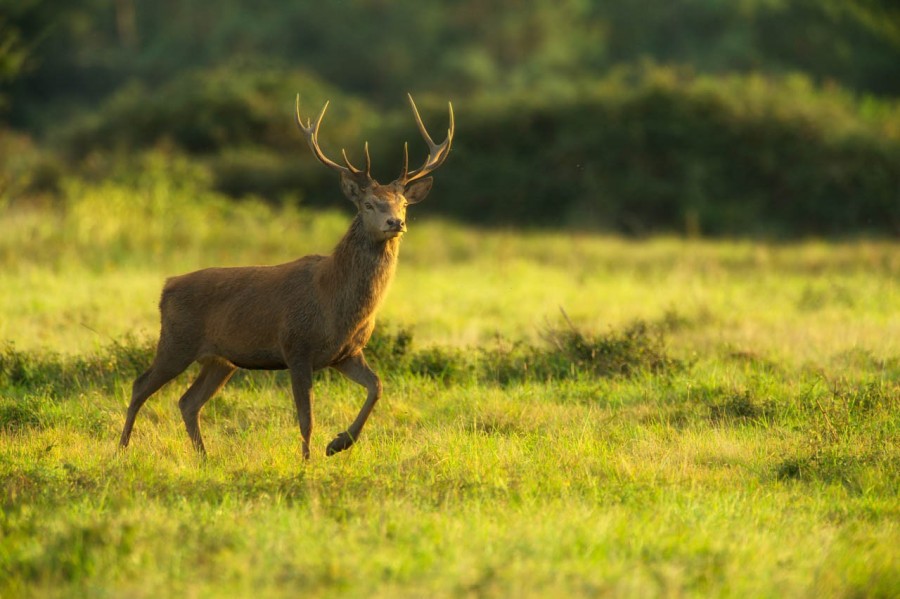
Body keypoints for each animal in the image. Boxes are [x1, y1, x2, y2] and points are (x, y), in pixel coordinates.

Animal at [118, 94, 454, 459]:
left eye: (403, 203)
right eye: (368, 204)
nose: (396, 222)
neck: (334, 303)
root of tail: (167, 287)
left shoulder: (346, 353)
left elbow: (376, 386)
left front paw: (338, 443)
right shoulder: (296, 345)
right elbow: (306, 418)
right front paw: (308, 462)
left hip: (221, 359)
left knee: (188, 401)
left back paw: (204, 457)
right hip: (177, 340)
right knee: (140, 385)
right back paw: (122, 449)